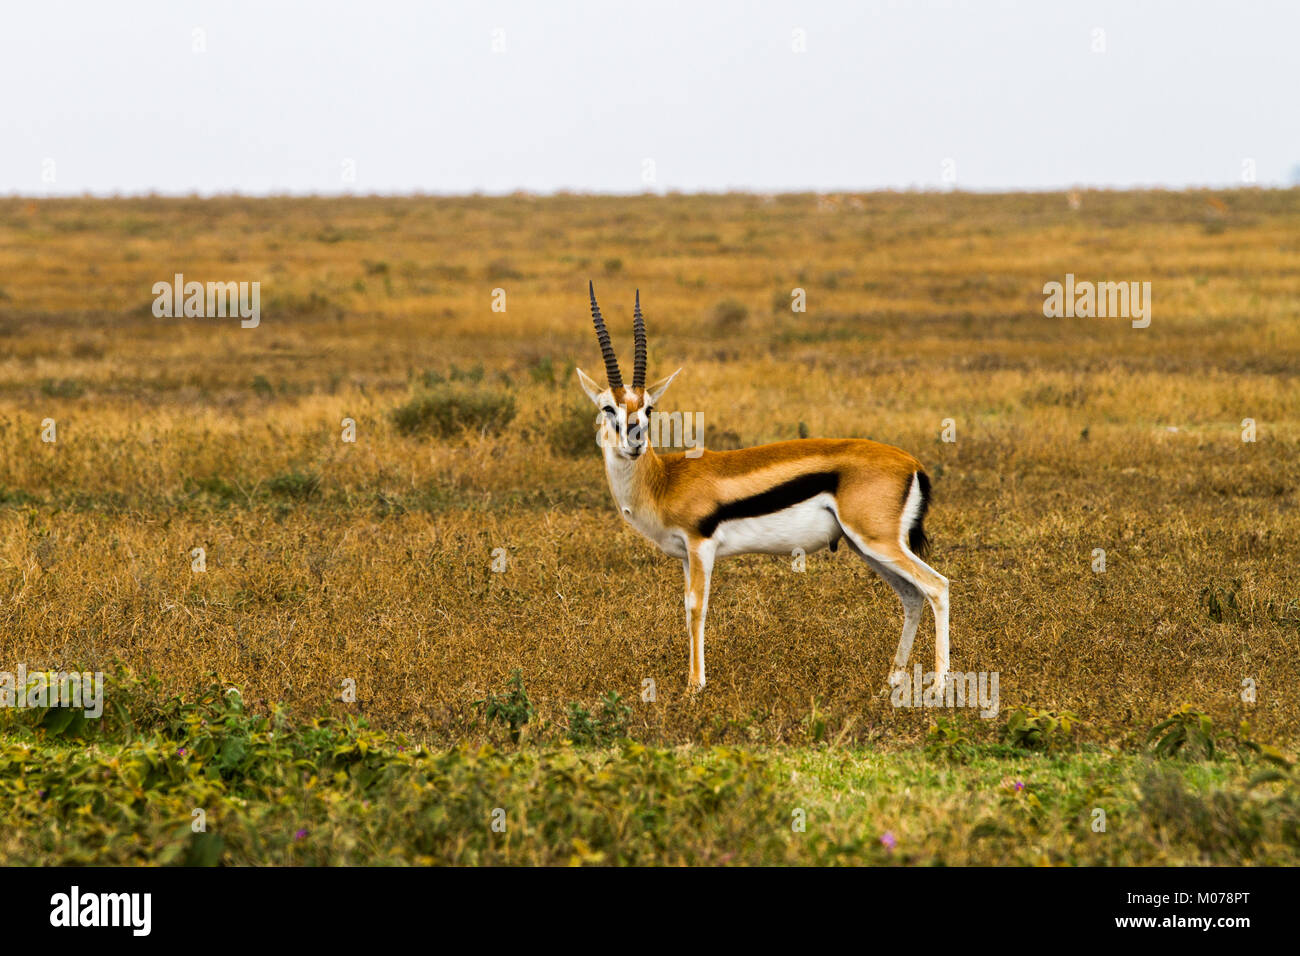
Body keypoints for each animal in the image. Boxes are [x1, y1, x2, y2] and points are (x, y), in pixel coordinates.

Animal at [576, 283, 950, 693]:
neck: (664, 479)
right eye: (608, 407)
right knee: (912, 596)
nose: (635, 441)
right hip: (866, 546)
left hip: (878, 542)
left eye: (649, 409)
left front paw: (695, 686)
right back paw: (891, 681)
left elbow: (697, 607)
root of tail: (912, 463)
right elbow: (687, 607)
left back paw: (938, 687)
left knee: (937, 586)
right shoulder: (685, 555)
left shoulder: (701, 545)